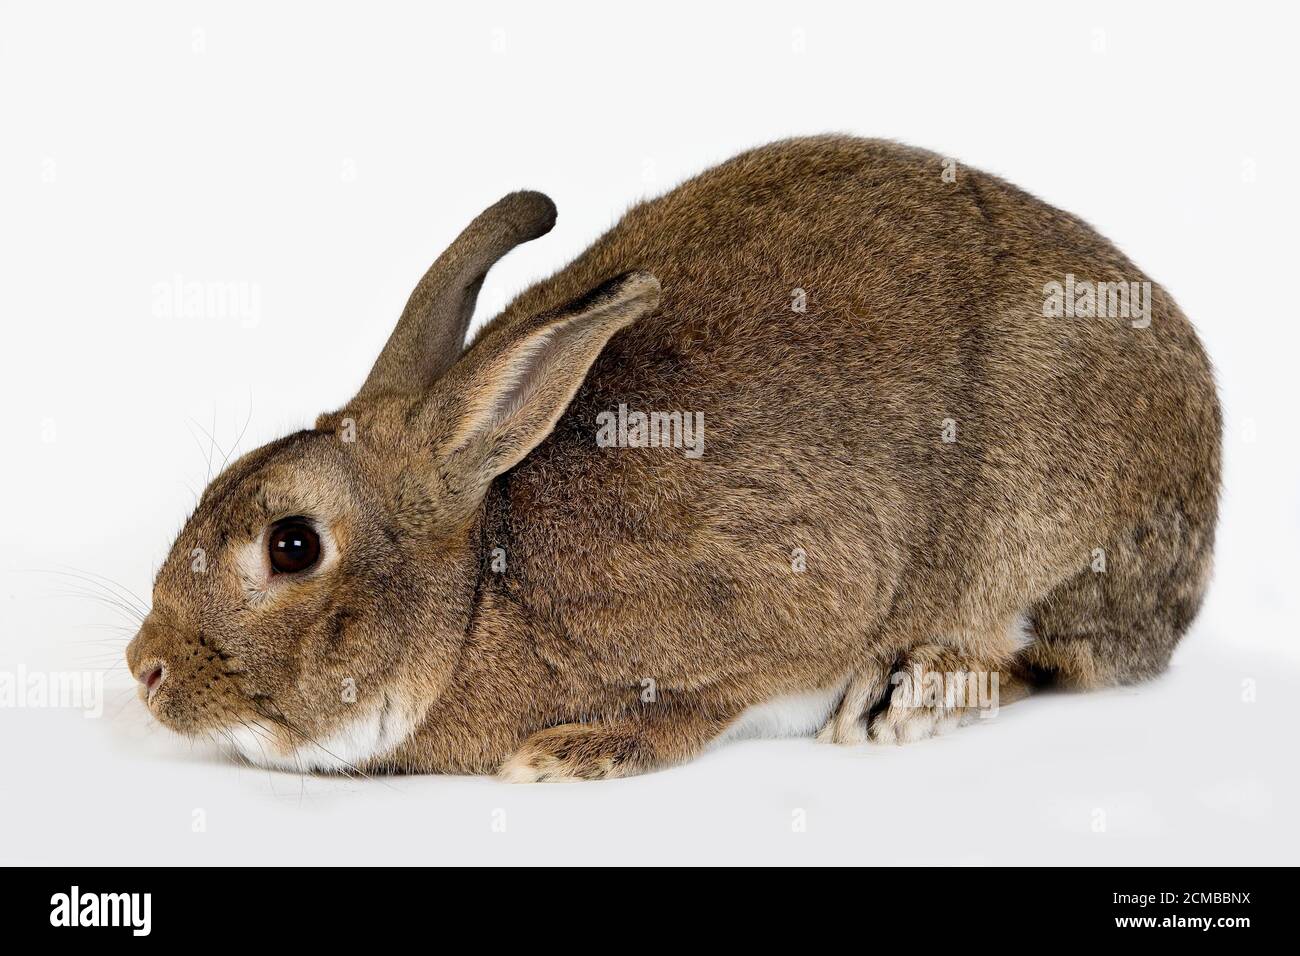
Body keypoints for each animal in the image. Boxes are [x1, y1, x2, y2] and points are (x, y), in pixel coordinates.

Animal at [125, 135, 1221, 781]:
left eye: (292, 544)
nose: (144, 668)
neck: (479, 589)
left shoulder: (784, 600)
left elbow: (714, 700)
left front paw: (570, 756)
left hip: (1049, 533)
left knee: (1048, 659)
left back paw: (906, 698)